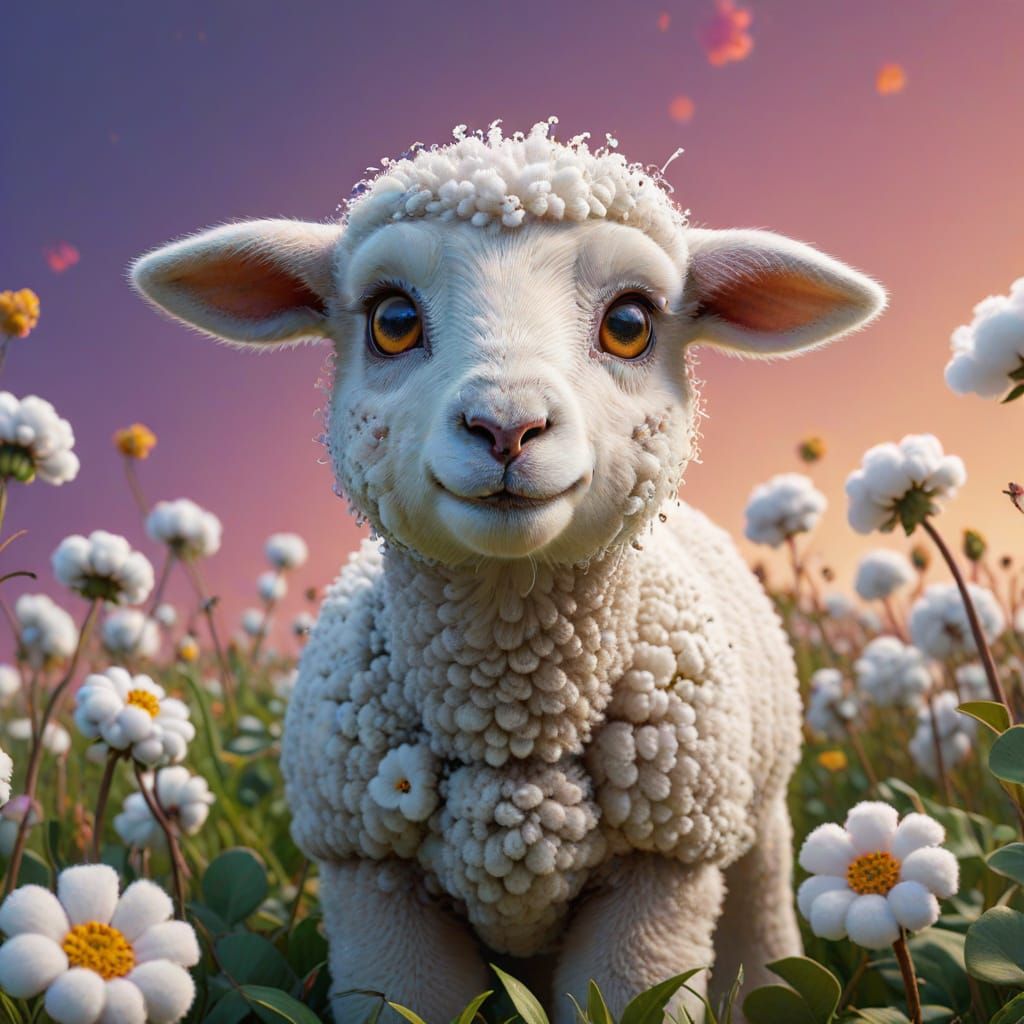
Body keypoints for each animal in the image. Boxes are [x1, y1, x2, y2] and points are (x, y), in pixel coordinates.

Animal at [131, 119, 885, 1023]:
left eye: (630, 321)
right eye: (392, 318)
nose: (506, 425)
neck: (513, 728)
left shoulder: (660, 874)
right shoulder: (371, 877)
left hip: (756, 814)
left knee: (763, 922)